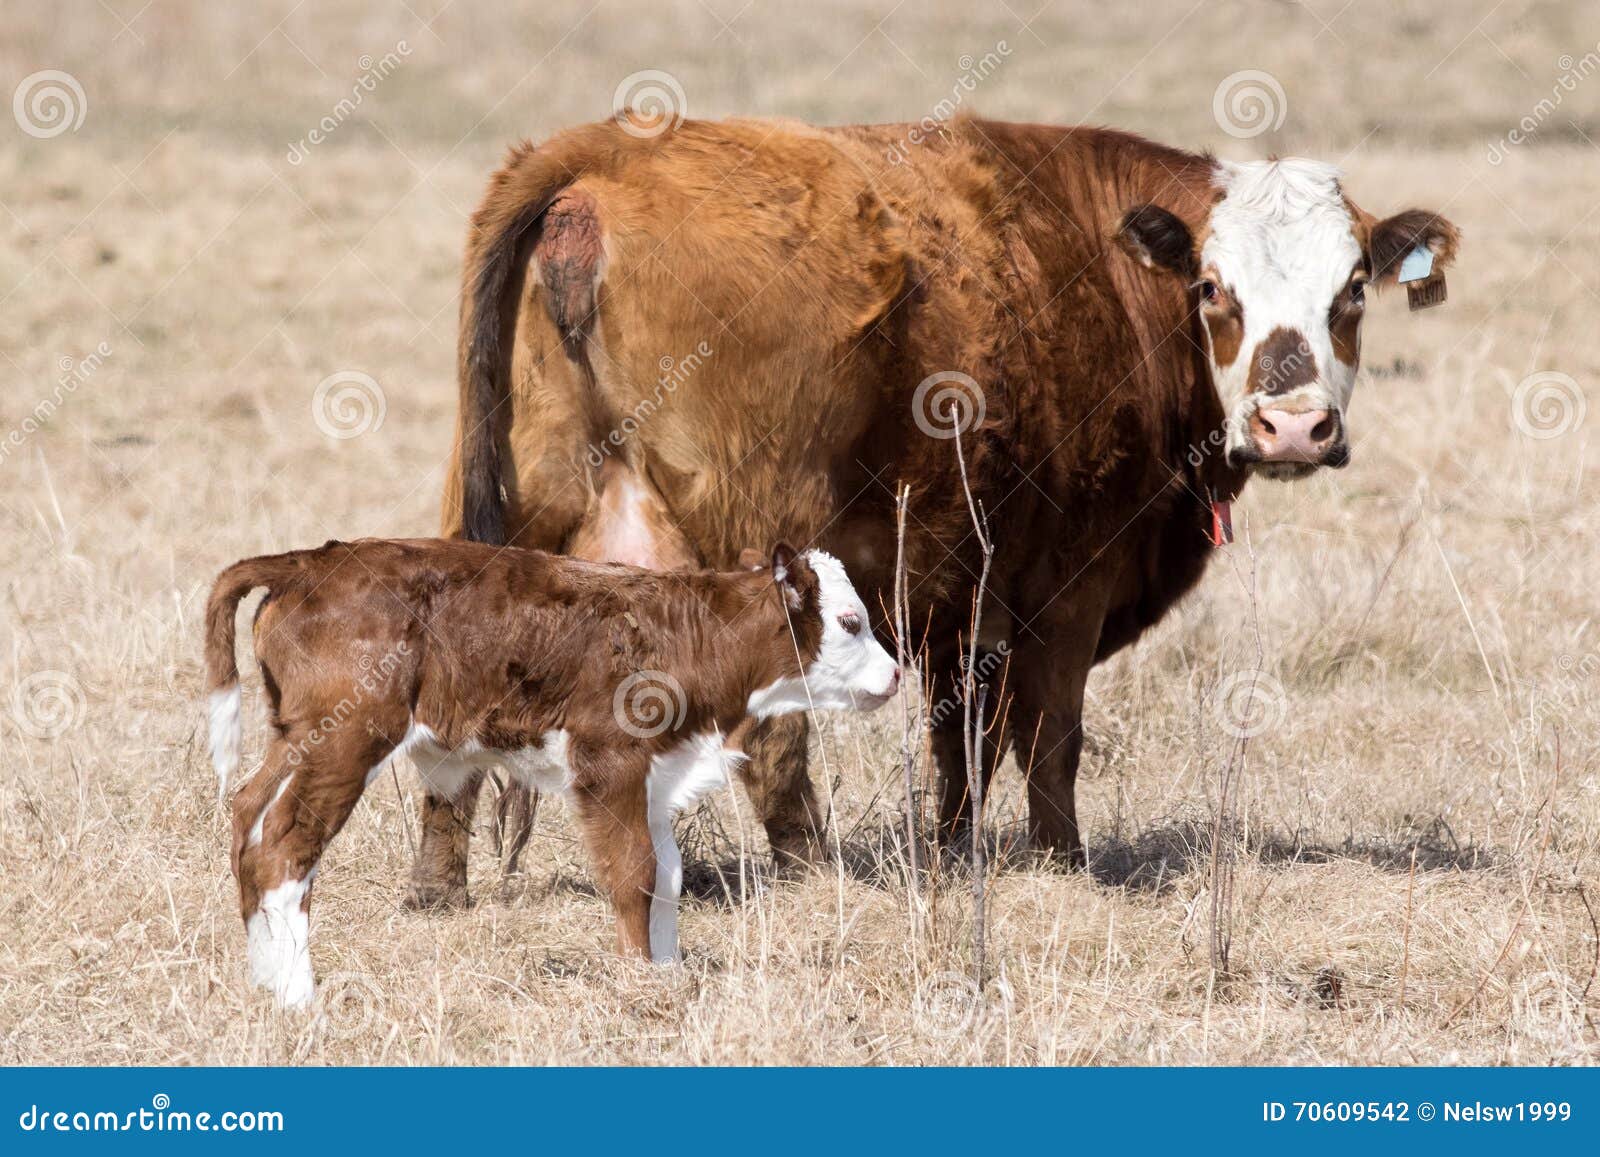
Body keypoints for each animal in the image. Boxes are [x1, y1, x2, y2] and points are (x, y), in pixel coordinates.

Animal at [204, 538, 899, 1006]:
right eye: (850, 622)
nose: (894, 675)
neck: (688, 633)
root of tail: (310, 560)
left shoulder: (657, 776)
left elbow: (668, 876)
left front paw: (667, 974)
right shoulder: (610, 763)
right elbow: (635, 874)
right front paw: (641, 985)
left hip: (297, 739)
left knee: (248, 819)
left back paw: (264, 979)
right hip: (345, 738)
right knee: (286, 845)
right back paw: (298, 996)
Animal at [407, 113, 1457, 905]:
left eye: (1352, 289)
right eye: (1212, 286)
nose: (1294, 426)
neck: (1103, 275)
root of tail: (604, 154)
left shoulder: (965, 597)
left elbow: (962, 745)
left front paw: (955, 852)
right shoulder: (1066, 585)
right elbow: (1050, 740)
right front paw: (1063, 863)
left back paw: (437, 885)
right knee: (776, 737)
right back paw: (813, 875)